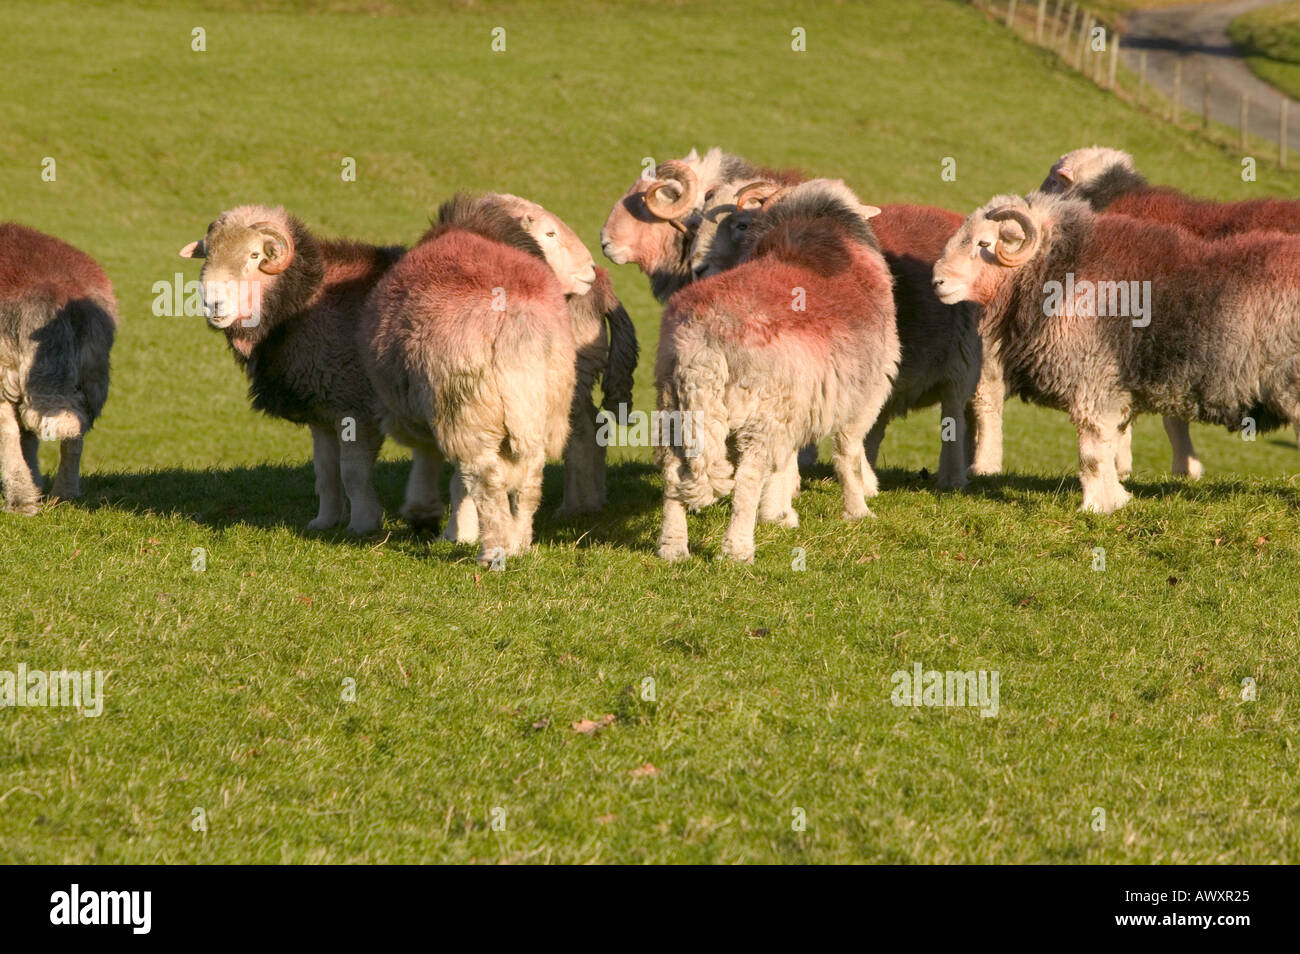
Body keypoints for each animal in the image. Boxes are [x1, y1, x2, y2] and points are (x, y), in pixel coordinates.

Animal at [0, 223, 117, 514]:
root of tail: (49, 294)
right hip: (92, 375)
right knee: (75, 433)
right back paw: (64, 494)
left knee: (7, 433)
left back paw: (20, 501)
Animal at [360, 194, 576, 566]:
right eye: (550, 232)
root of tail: (517, 324)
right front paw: (457, 530)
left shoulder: (411, 407)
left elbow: (428, 455)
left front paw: (425, 514)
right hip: (542, 408)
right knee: (529, 479)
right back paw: (519, 541)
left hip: (464, 404)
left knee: (485, 479)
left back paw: (495, 552)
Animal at [656, 178, 900, 562]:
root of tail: (702, 341)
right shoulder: (864, 392)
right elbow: (848, 453)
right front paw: (858, 511)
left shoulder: (799, 403)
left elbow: (787, 460)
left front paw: (779, 514)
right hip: (759, 412)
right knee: (747, 478)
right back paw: (738, 549)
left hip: (674, 404)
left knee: (672, 471)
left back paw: (673, 547)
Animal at [932, 191, 1300, 514]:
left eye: (983, 244)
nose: (937, 281)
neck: (1057, 271)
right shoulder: (1110, 393)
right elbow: (1107, 448)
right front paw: (1117, 499)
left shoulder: (1091, 385)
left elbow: (1092, 454)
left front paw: (1095, 507)